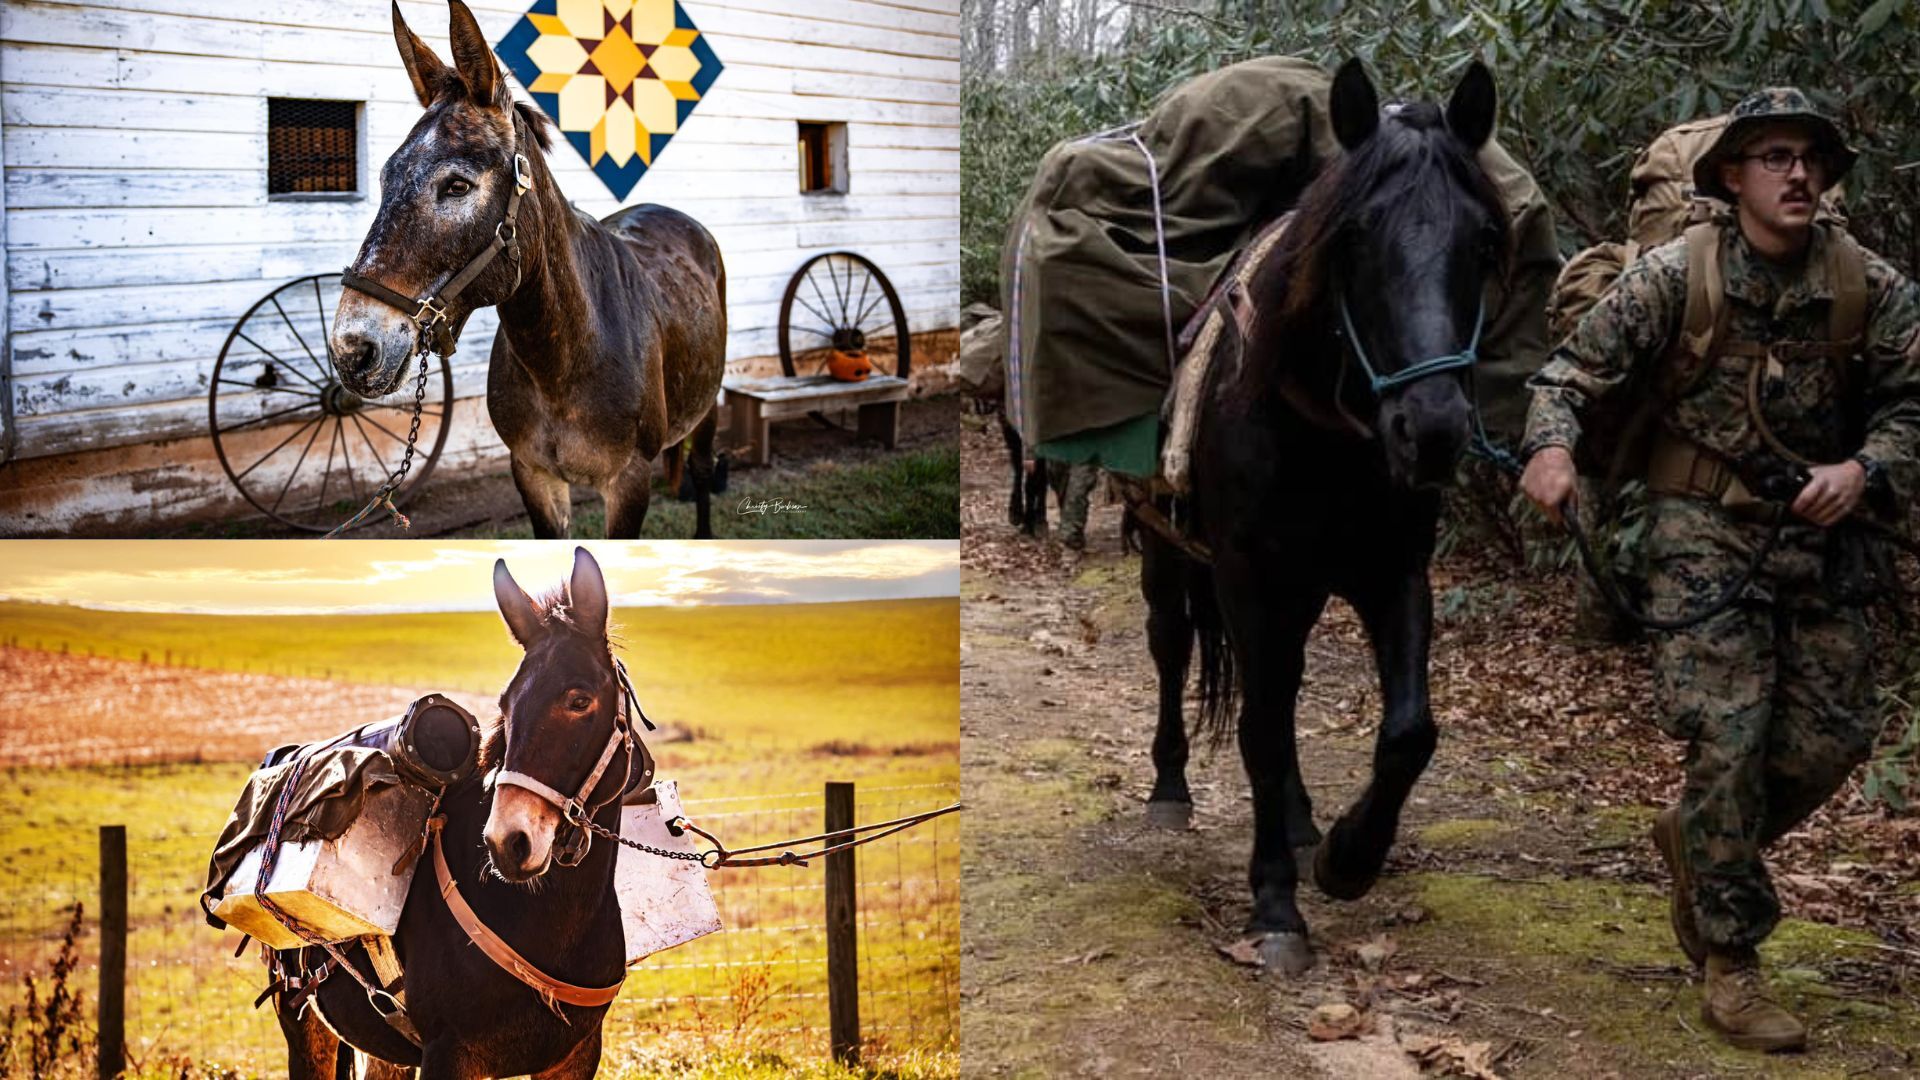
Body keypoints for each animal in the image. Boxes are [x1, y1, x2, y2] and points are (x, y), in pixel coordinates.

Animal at [277, 547, 643, 1078]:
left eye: (579, 700)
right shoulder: (450, 1054)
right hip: (303, 1021)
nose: (507, 842)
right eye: (505, 705)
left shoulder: (576, 1056)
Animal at [327, 0, 728, 539]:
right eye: (387, 176)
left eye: (457, 185)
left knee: (703, 470)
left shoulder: (628, 484)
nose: (351, 350)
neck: (564, 358)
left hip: (708, 403)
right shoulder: (533, 476)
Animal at [1137, 59, 1510, 976]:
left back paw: (1306, 823)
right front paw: (1275, 905)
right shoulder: (1247, 580)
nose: (1432, 430)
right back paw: (1169, 789)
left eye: (1485, 240)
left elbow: (1409, 731)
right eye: (1354, 238)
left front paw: (1347, 857)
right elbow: (1261, 734)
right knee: (1172, 649)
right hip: (1170, 559)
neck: (1325, 438)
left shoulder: (1393, 573)